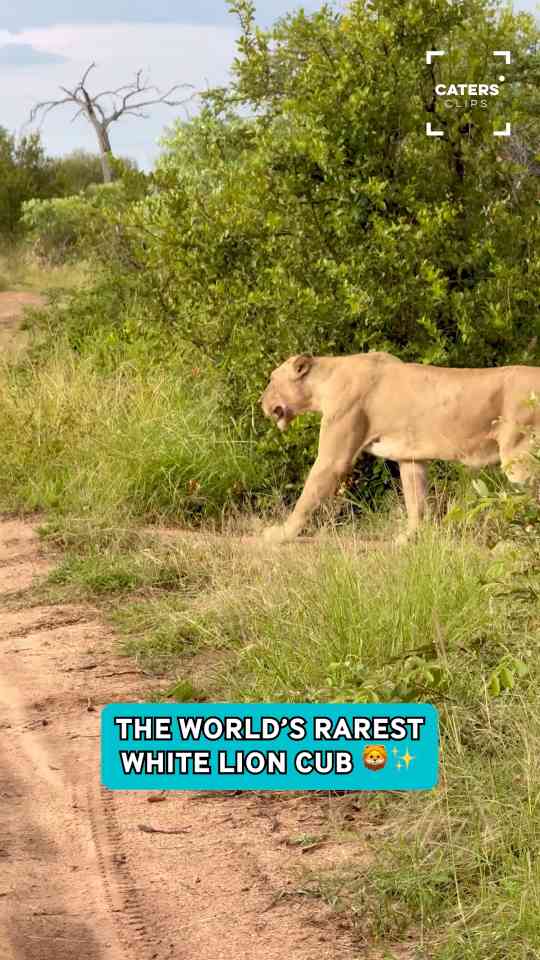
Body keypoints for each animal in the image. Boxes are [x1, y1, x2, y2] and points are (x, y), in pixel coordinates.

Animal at [260, 351, 540, 543]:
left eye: (271, 380)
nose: (260, 401)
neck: (325, 381)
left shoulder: (333, 459)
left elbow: (307, 497)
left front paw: (281, 533)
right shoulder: (410, 458)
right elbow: (416, 501)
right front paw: (410, 538)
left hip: (519, 456)